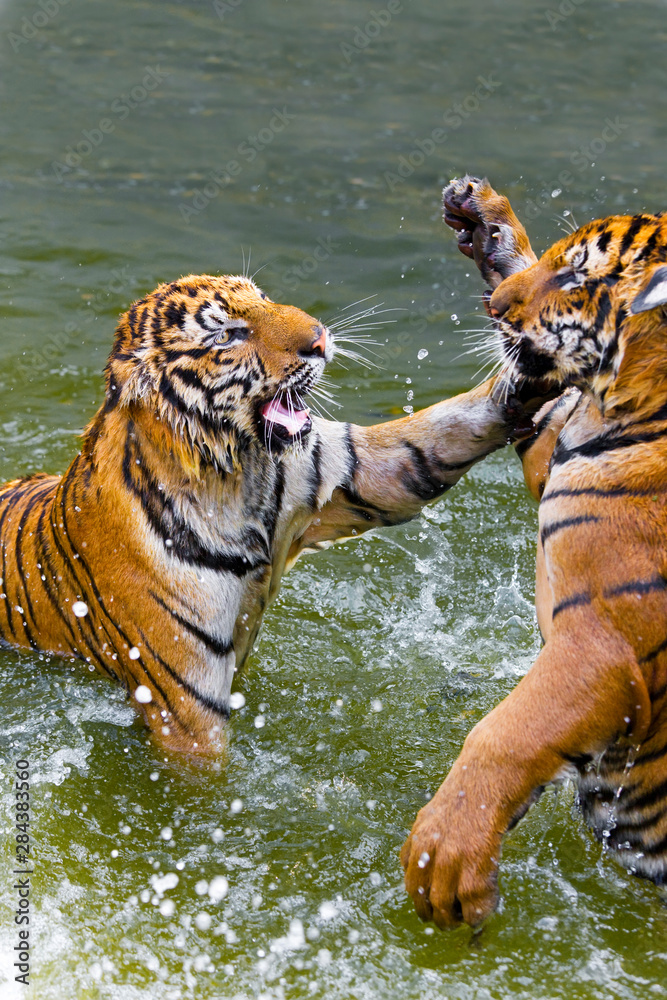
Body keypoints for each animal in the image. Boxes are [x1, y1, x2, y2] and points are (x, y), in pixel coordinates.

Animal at [0, 271, 540, 754]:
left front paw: (527, 376)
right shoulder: (186, 703)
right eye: (228, 334)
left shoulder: (351, 468)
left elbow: (442, 431)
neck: (234, 475)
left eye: (262, 298)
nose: (320, 338)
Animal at [401, 175, 667, 928]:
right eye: (557, 258)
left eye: (577, 275)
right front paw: (486, 223)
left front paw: (444, 855)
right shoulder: (555, 441)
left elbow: (507, 732)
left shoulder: (599, 644)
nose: (495, 308)